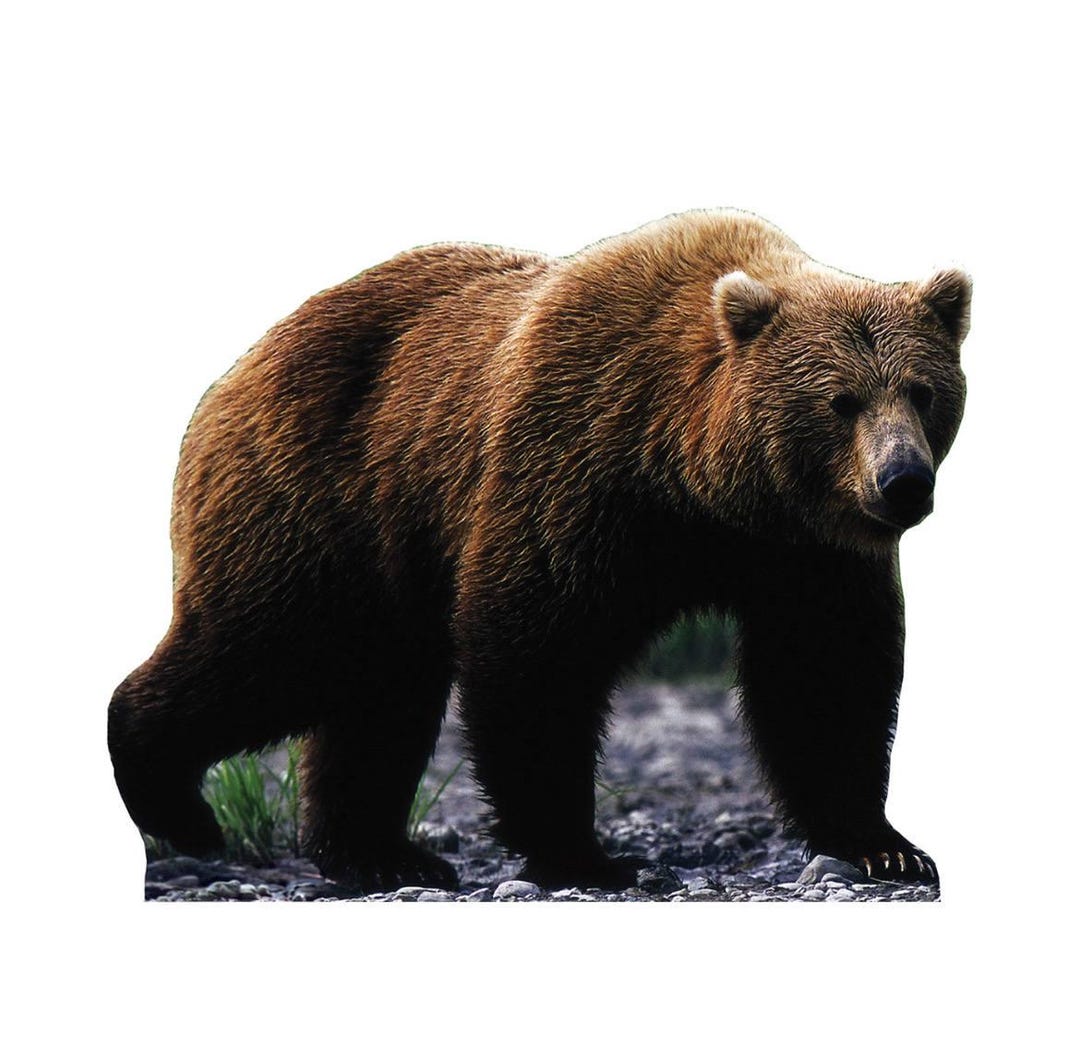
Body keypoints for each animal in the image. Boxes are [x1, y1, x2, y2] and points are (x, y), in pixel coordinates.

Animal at [108, 210, 971, 892]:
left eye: (922, 390)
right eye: (840, 400)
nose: (903, 482)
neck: (701, 484)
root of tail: (236, 369)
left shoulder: (804, 553)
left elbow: (826, 678)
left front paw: (886, 847)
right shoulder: (577, 464)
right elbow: (539, 649)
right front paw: (585, 854)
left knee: (379, 691)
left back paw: (379, 852)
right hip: (322, 494)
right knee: (273, 651)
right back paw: (175, 803)